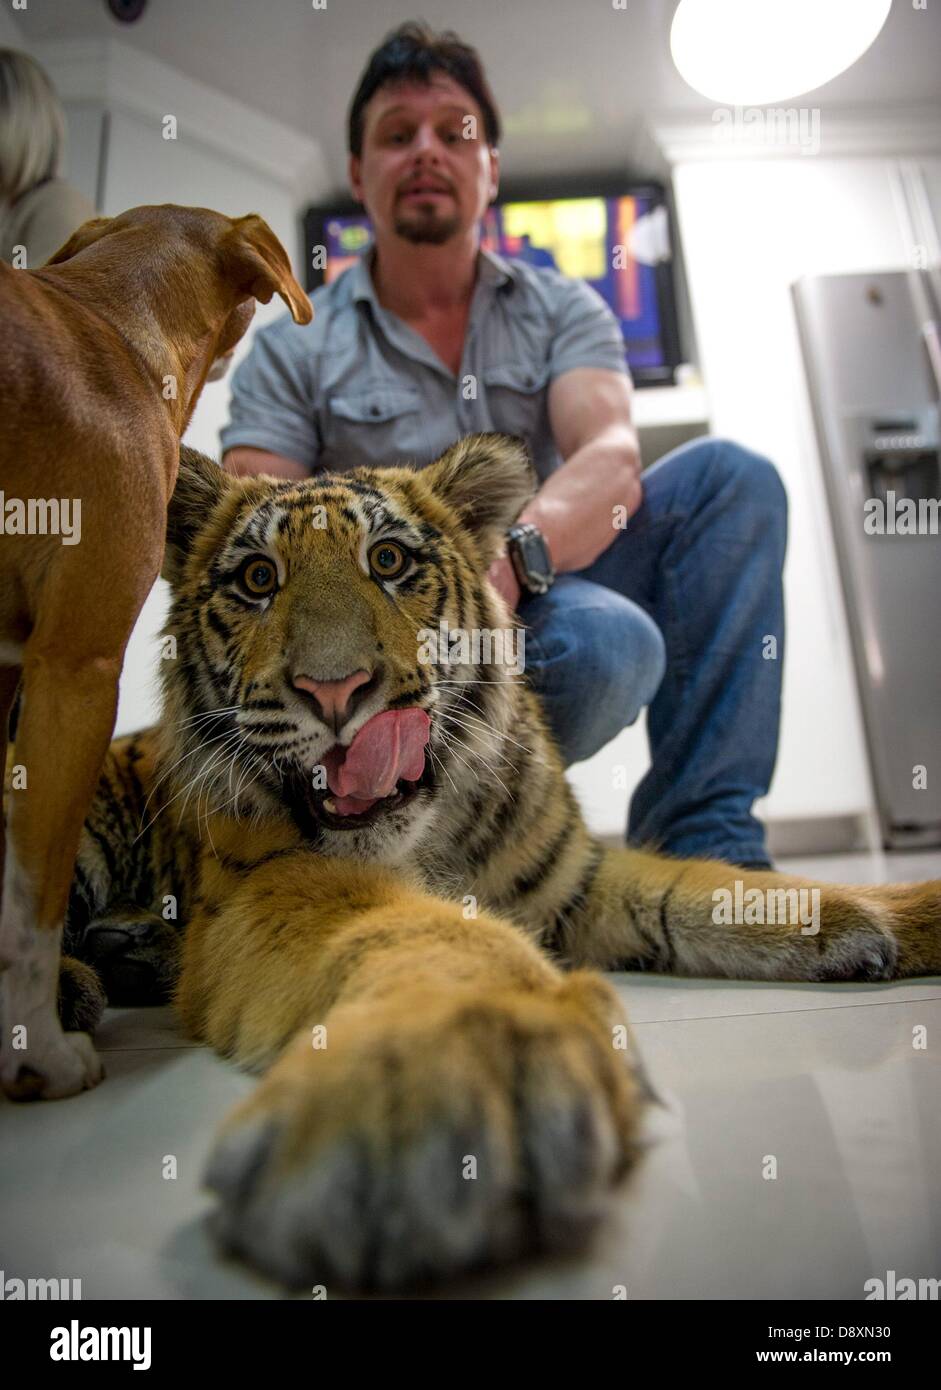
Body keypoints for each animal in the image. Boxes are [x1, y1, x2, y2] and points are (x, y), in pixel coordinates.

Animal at [17, 434, 941, 1293]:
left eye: (388, 562)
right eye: (255, 578)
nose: (334, 690)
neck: (429, 832)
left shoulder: (573, 878)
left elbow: (704, 888)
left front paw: (894, 913)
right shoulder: (274, 882)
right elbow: (419, 933)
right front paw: (455, 1059)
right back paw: (70, 998)